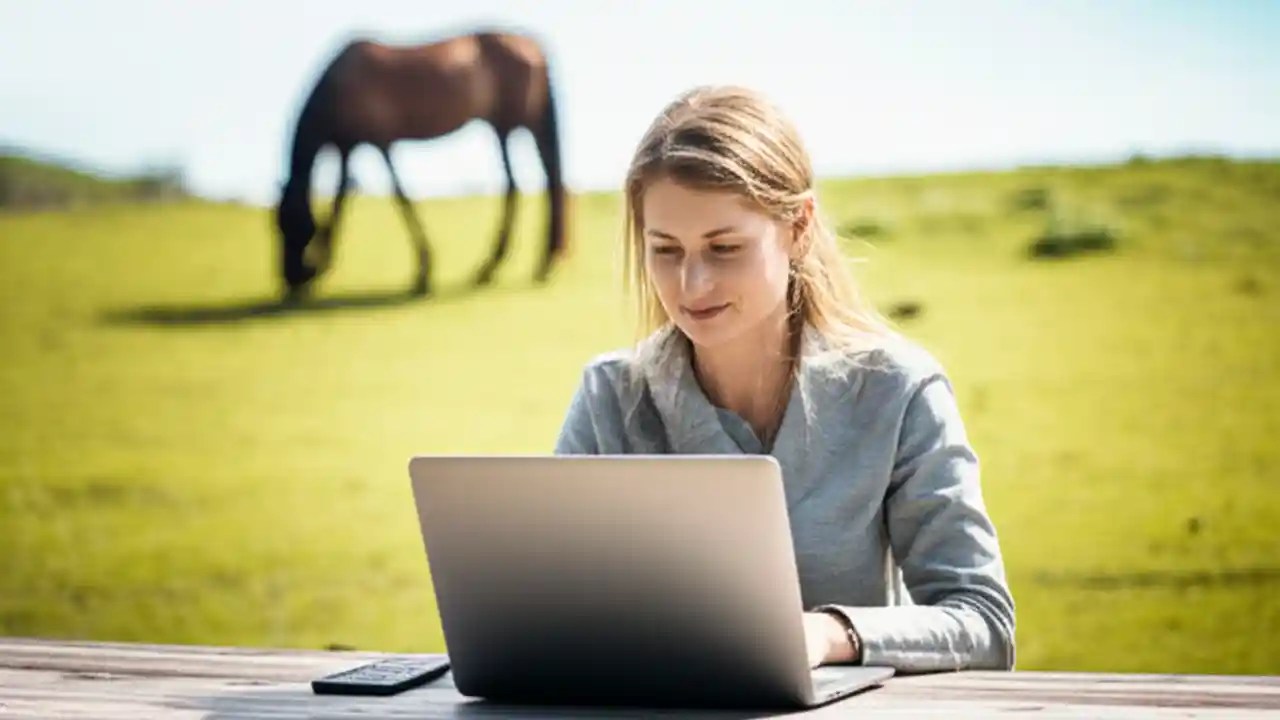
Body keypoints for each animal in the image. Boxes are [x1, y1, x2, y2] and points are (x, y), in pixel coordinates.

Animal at [274, 30, 567, 298]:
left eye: (289, 223)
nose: (292, 278)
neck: (338, 85)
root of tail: (532, 47)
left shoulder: (381, 143)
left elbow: (398, 197)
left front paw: (424, 273)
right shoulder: (347, 147)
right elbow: (339, 204)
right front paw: (323, 263)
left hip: (509, 124)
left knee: (516, 185)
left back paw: (491, 268)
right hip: (514, 125)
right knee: (542, 177)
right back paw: (538, 262)